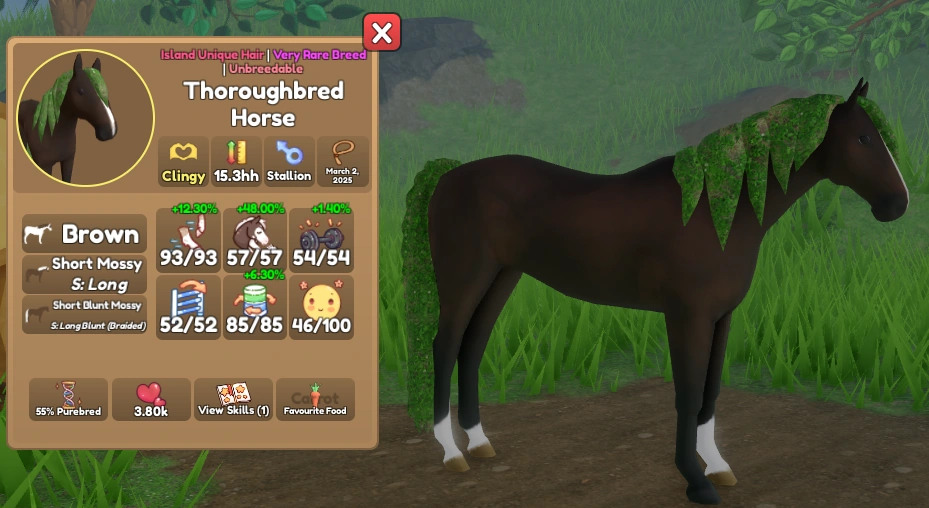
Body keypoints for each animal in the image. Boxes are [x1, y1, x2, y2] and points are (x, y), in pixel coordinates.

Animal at [400, 79, 908, 505]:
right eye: (863, 139)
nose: (897, 204)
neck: (716, 211)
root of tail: (450, 176)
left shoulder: (721, 317)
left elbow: (711, 393)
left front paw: (718, 466)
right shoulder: (688, 316)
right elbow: (687, 393)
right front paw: (696, 481)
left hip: (503, 278)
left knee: (472, 348)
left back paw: (480, 442)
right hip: (466, 279)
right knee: (444, 348)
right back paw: (452, 453)